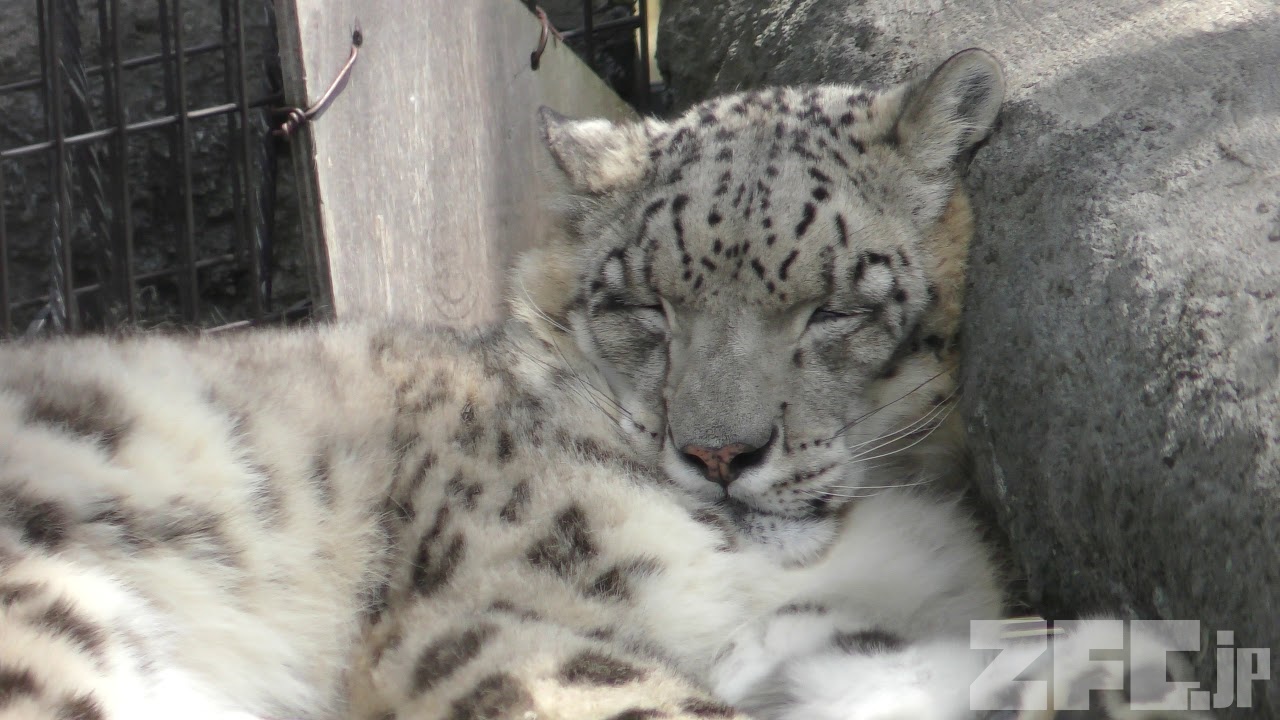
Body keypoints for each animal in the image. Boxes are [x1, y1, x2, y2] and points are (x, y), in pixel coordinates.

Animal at [0, 48, 1203, 720]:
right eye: (647, 307)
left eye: (830, 308)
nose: (719, 454)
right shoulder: (499, 621)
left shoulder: (820, 630)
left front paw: (1105, 678)